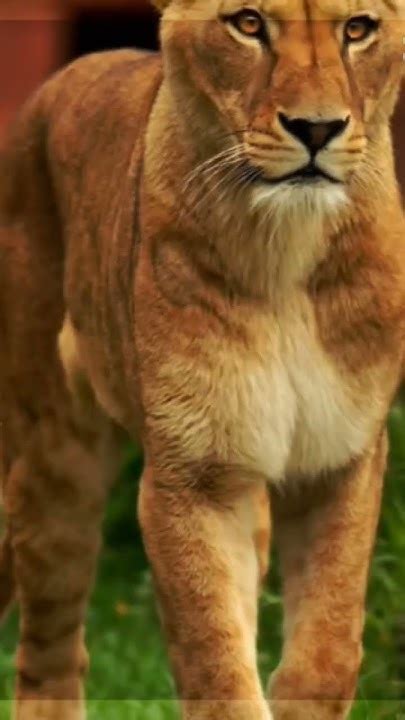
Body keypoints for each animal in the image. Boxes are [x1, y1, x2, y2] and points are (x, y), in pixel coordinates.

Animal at [1, 0, 405, 718]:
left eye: (358, 29)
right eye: (247, 23)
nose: (316, 128)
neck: (285, 251)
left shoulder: (342, 459)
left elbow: (325, 649)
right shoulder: (193, 475)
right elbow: (215, 662)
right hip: (55, 460)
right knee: (48, 654)